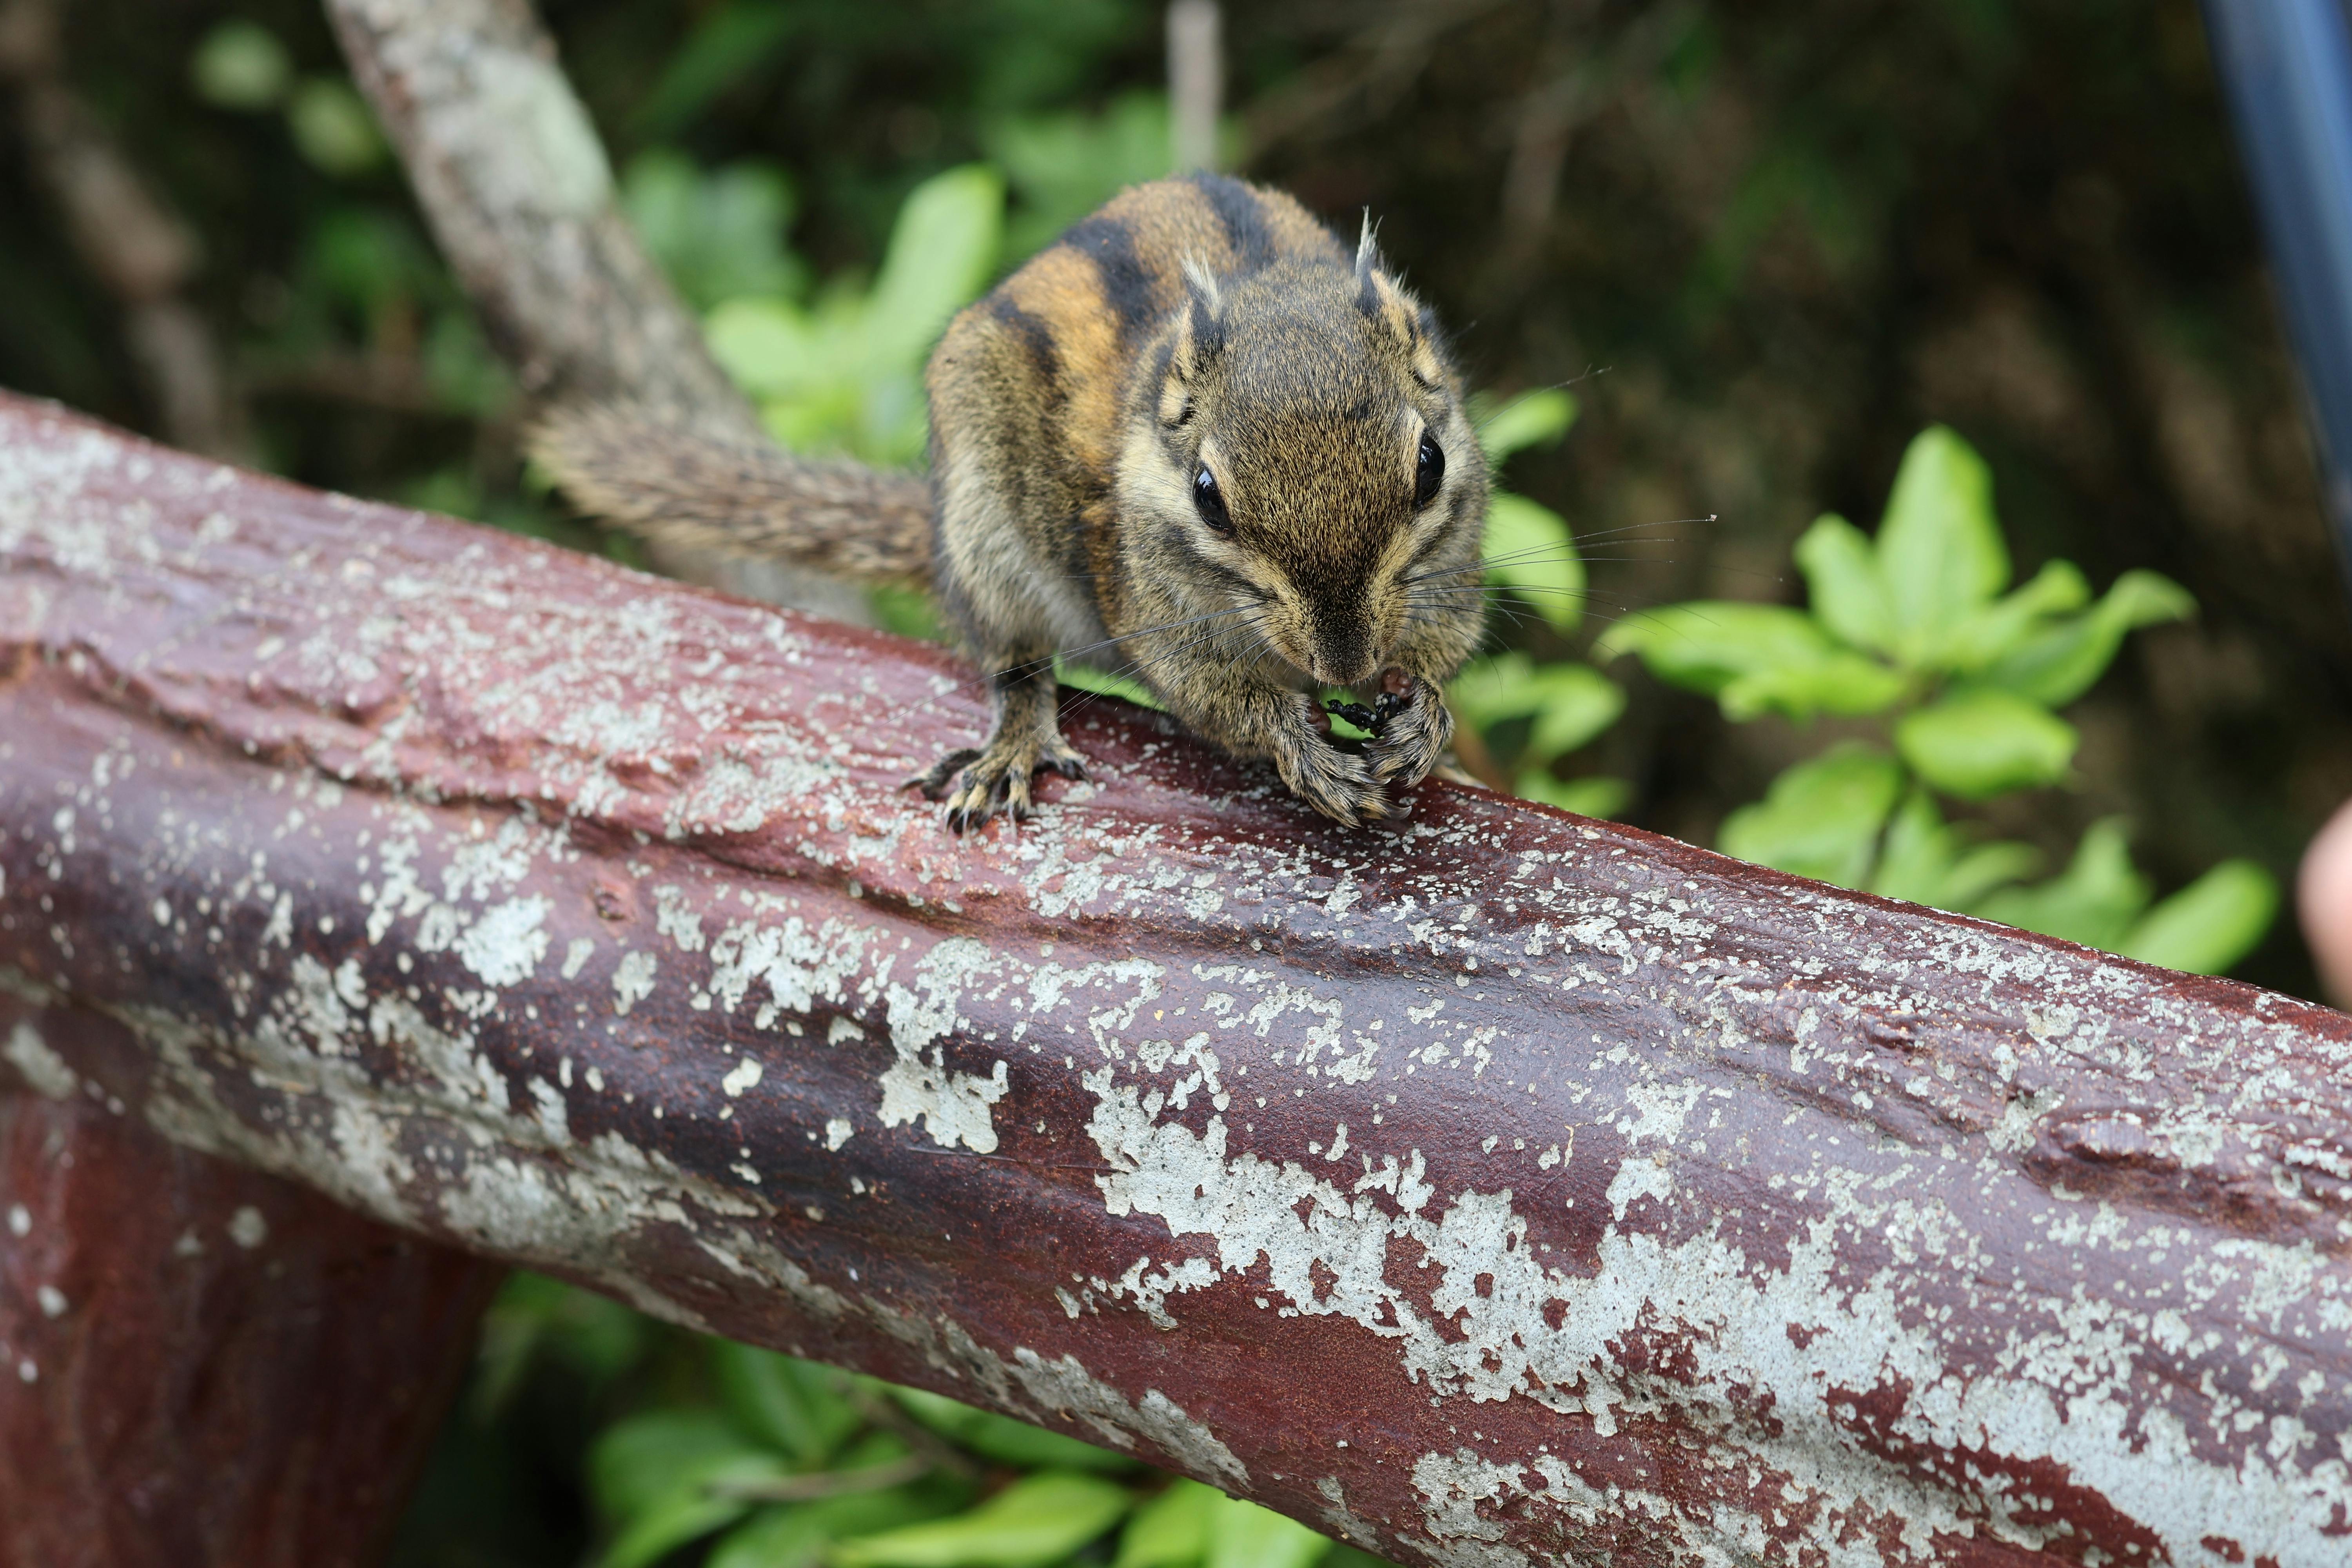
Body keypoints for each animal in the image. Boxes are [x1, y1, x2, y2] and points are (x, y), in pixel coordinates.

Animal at [534, 173, 1489, 831]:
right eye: (1208, 498)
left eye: (1431, 463)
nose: (1346, 662)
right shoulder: (1160, 617)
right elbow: (1221, 700)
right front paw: (1300, 746)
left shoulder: (1449, 582)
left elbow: (1439, 654)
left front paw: (1425, 717)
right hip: (985, 539)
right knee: (1015, 663)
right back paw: (1017, 740)